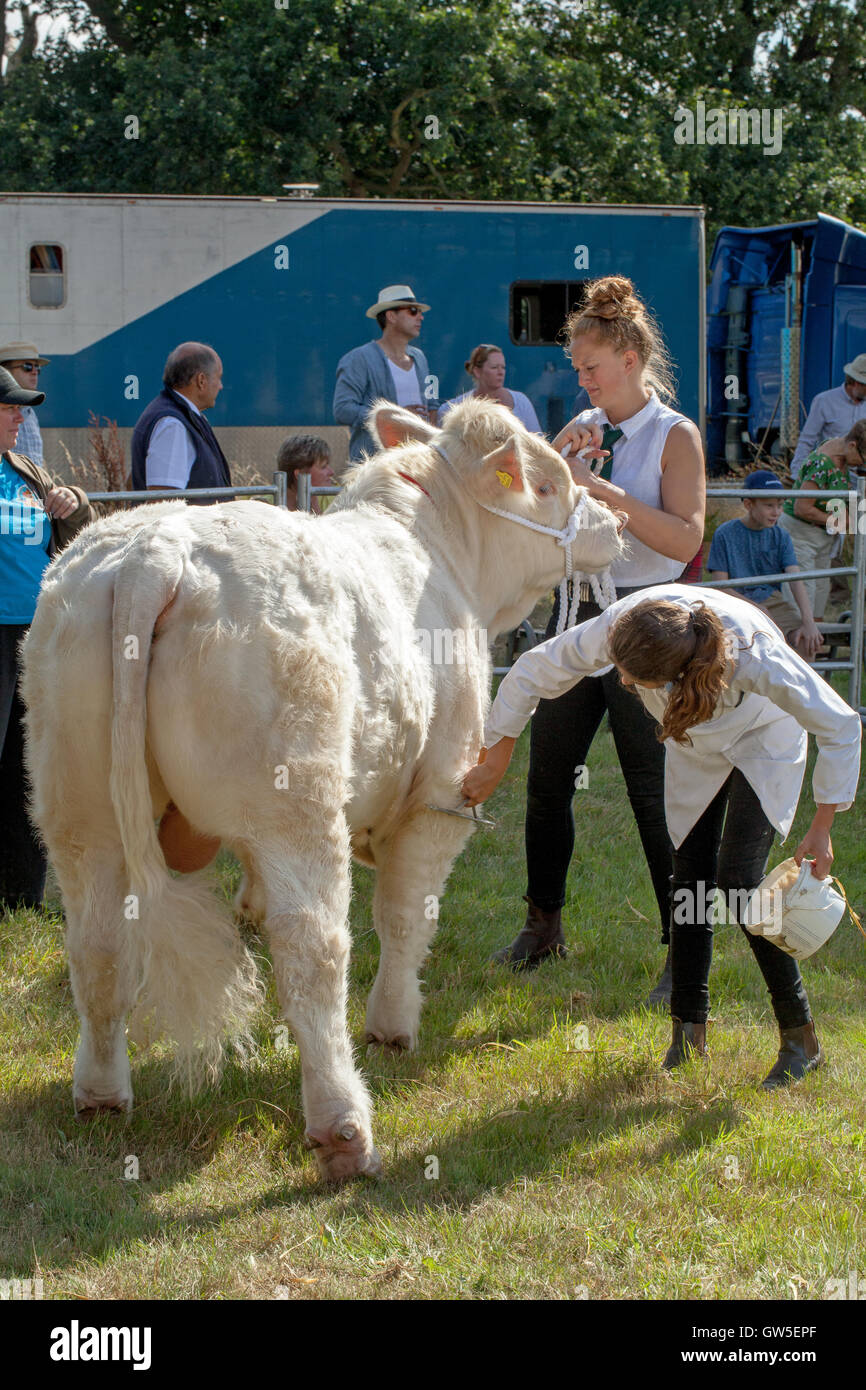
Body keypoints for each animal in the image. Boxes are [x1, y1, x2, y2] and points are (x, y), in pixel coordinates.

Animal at [21, 397, 623, 1182]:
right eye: (550, 483)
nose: (615, 518)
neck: (441, 551)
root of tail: (155, 548)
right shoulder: (442, 793)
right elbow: (406, 916)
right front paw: (394, 1026)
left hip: (76, 804)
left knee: (96, 945)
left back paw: (99, 1092)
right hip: (297, 804)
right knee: (313, 951)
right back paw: (343, 1127)